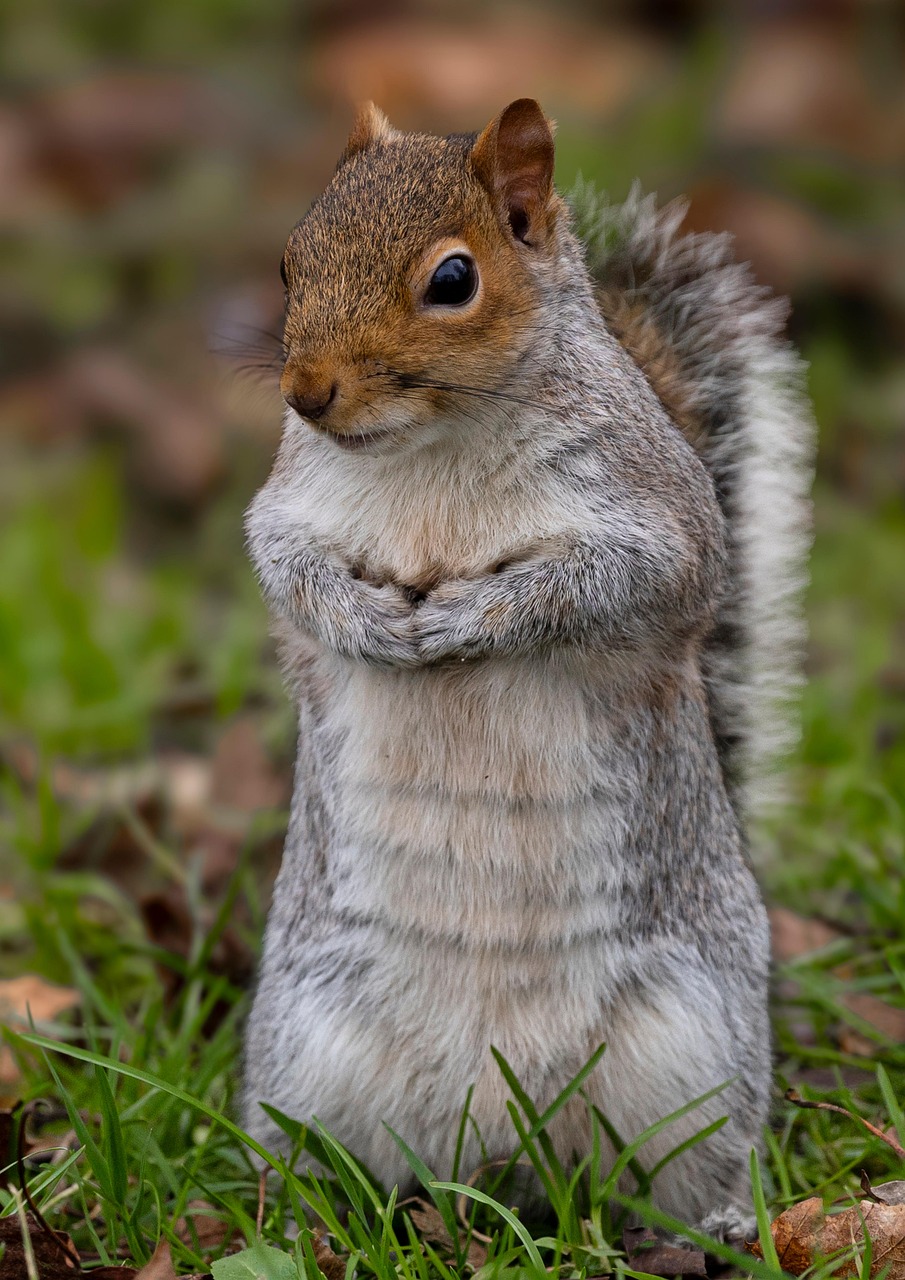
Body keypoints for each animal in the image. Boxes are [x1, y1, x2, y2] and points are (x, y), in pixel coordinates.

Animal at [243, 98, 813, 1239]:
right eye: (290, 263)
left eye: (453, 280)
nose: (306, 393)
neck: (428, 450)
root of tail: (492, 1137)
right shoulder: (287, 507)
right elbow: (291, 576)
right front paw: (369, 621)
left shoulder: (656, 524)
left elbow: (599, 583)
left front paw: (474, 616)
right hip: (309, 1042)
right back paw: (300, 1214)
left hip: (689, 1046)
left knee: (684, 1164)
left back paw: (712, 1224)